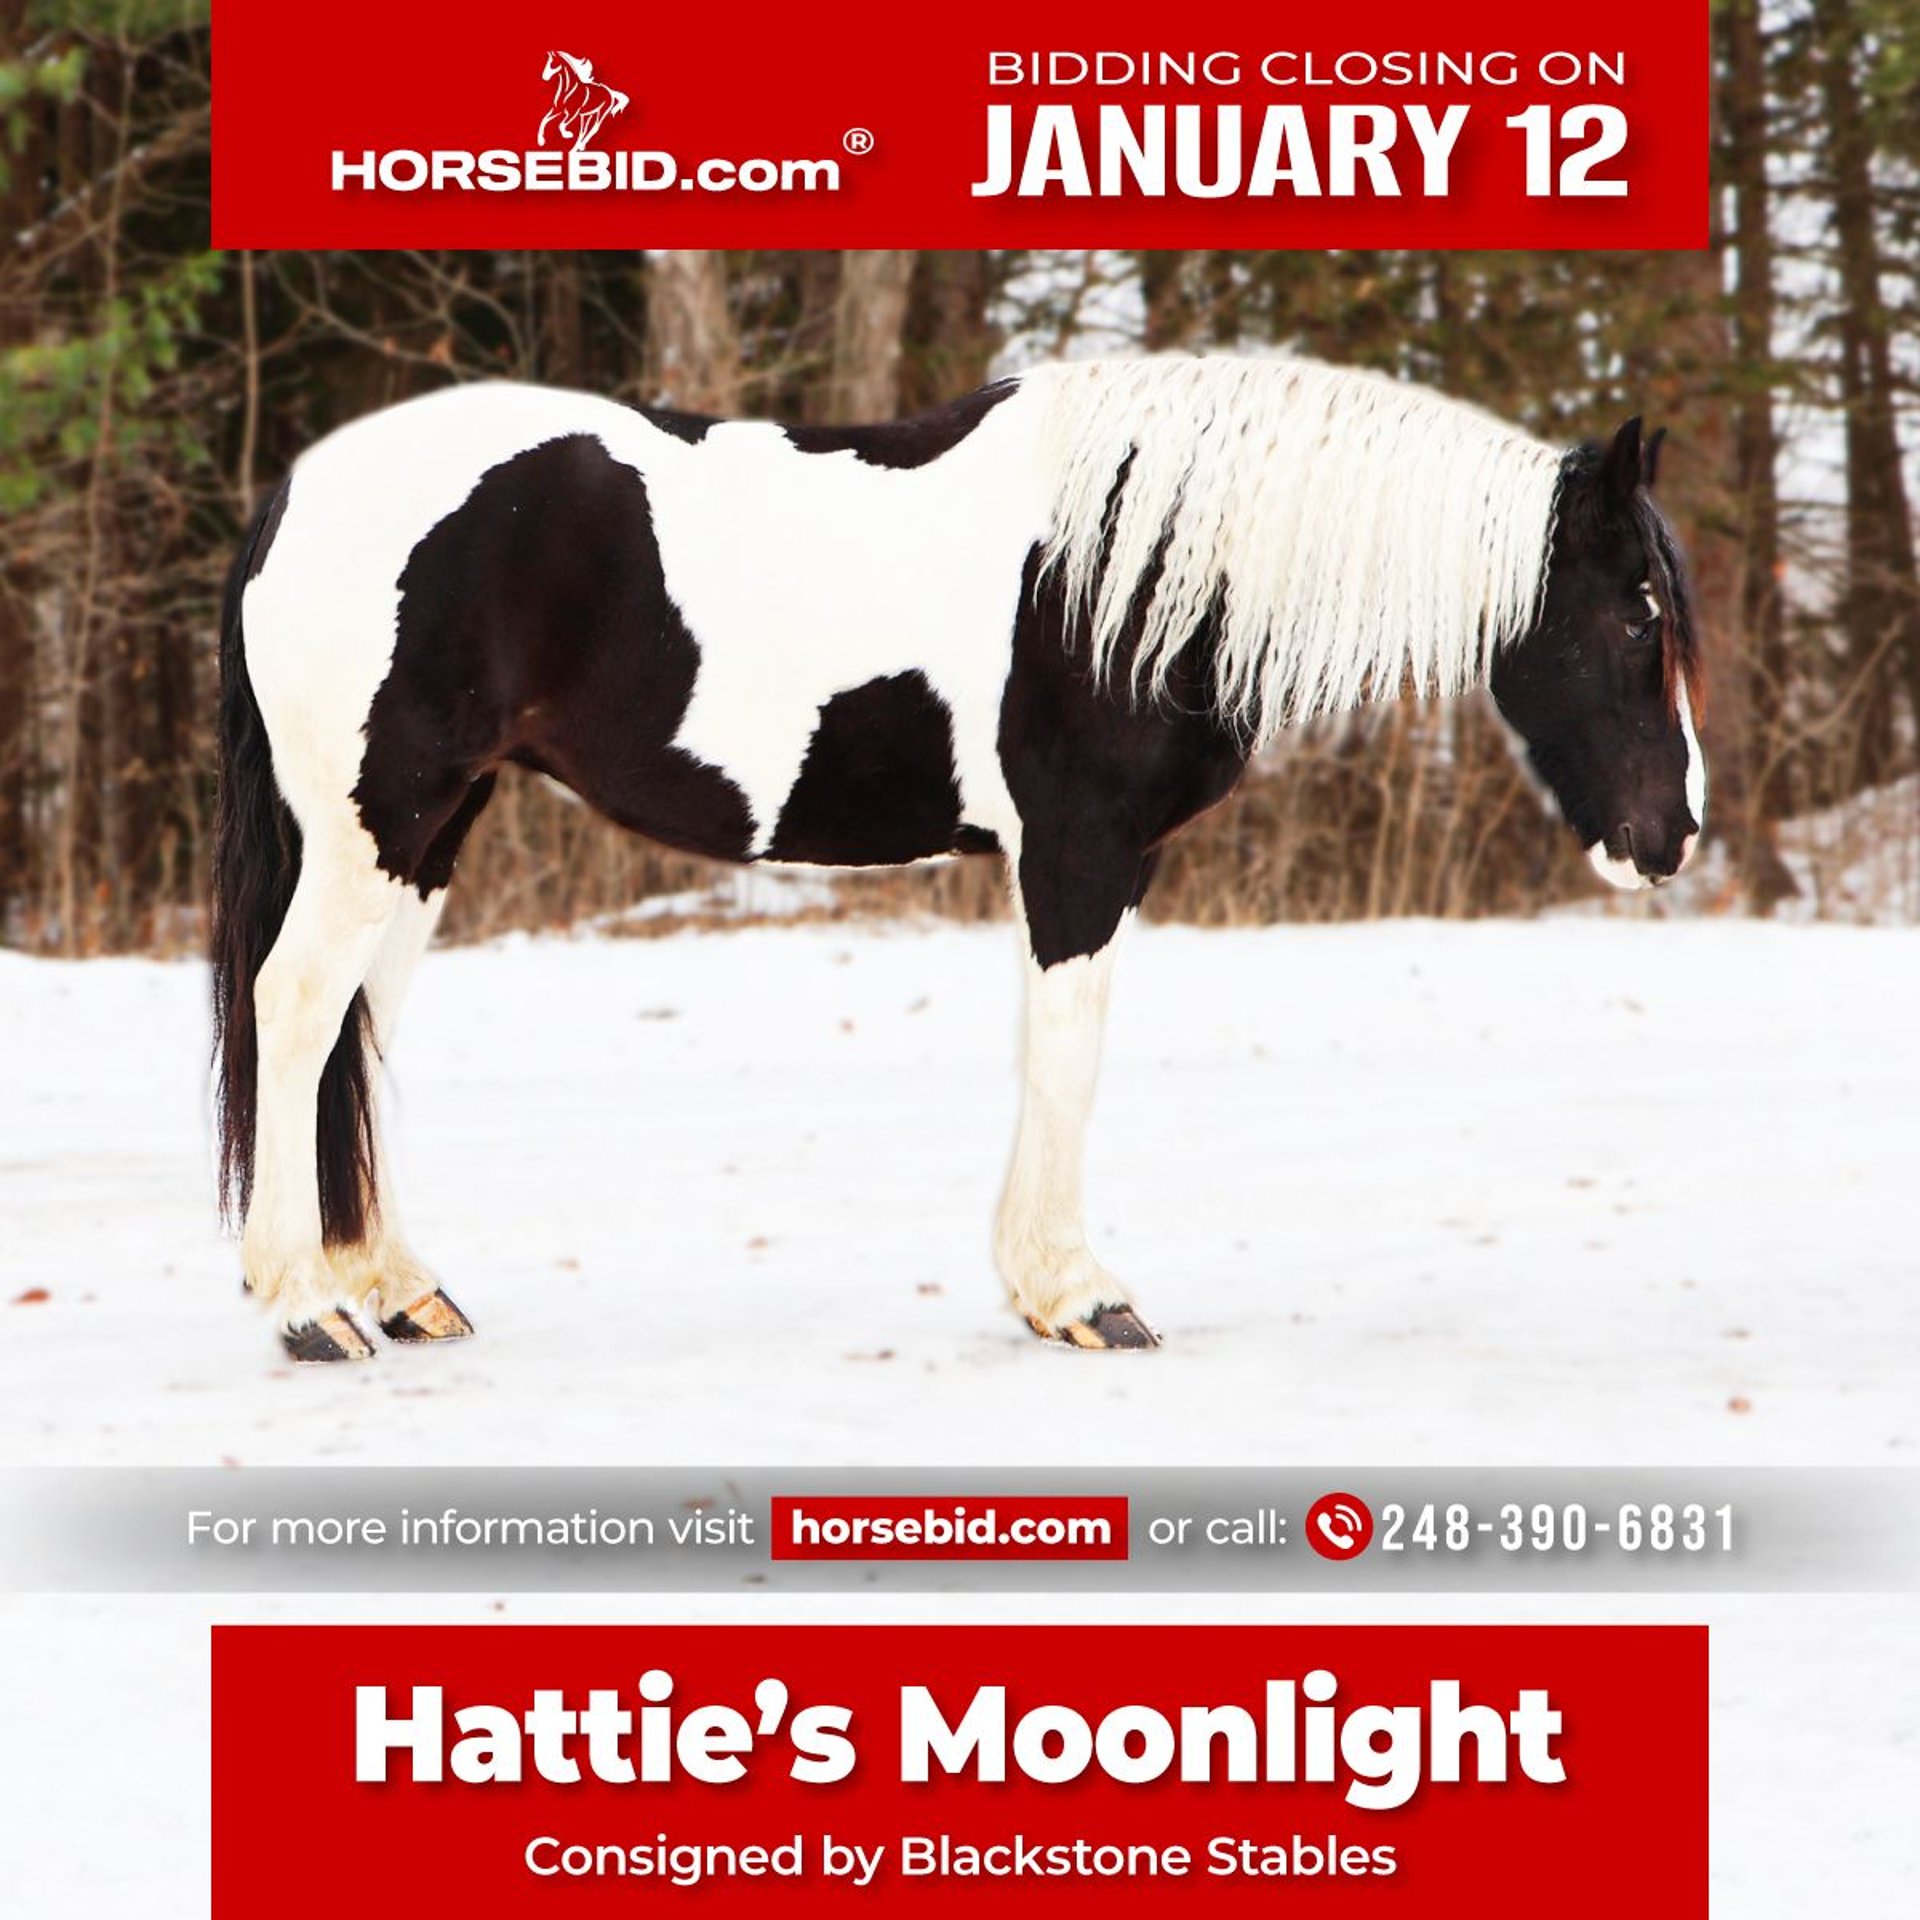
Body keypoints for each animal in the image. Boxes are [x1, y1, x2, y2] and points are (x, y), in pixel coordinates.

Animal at [210, 354, 1705, 1363]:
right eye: (1637, 611)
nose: (1674, 835)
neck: (1135, 562)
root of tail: (294, 492)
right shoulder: (1077, 857)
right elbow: (1066, 1056)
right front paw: (1079, 1295)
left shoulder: (1100, 864)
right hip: (375, 824)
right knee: (295, 1007)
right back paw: (307, 1311)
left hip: (425, 834)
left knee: (358, 1028)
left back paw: (398, 1290)